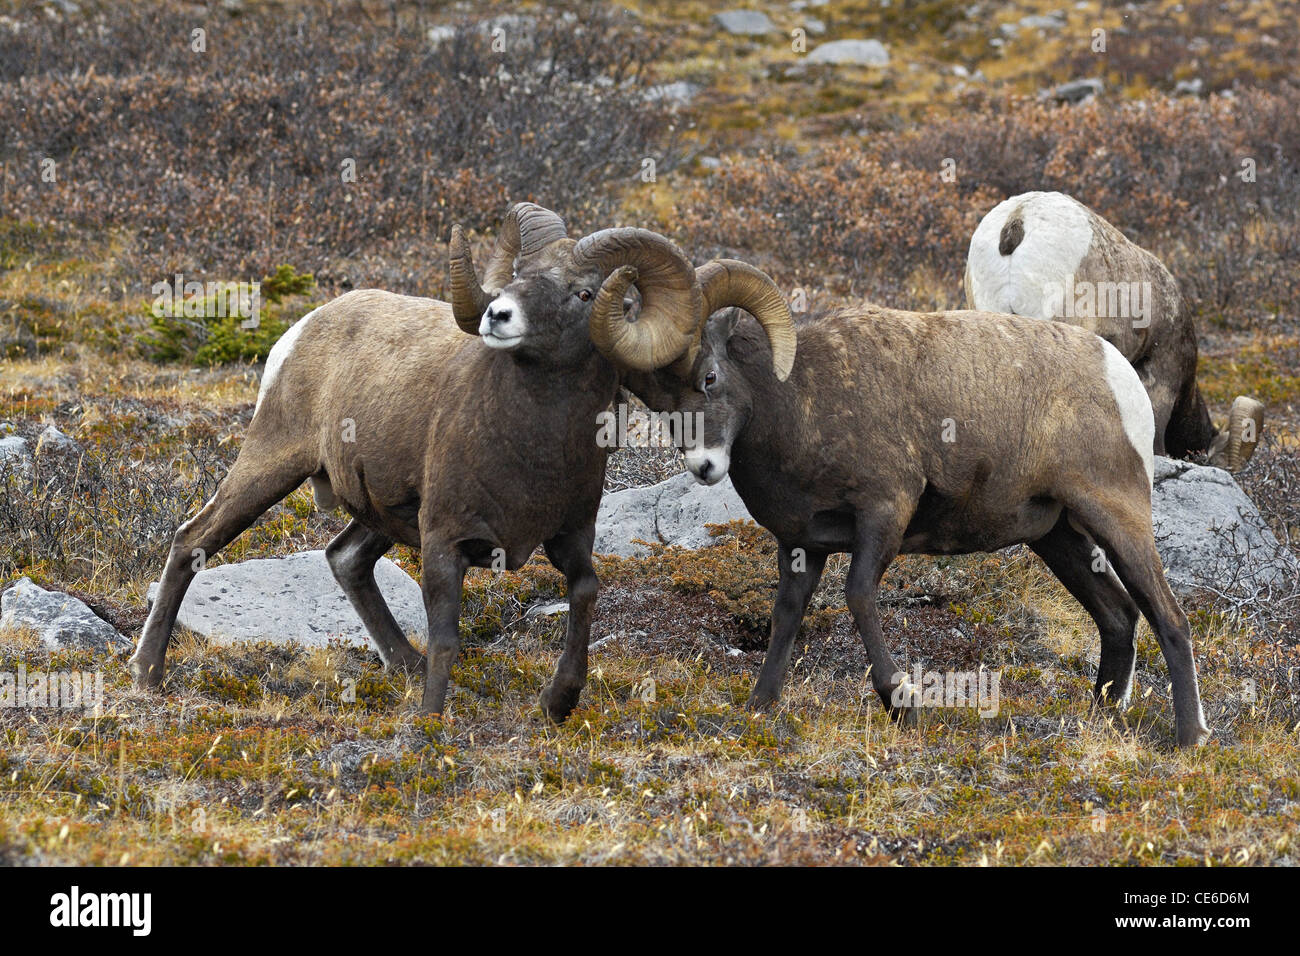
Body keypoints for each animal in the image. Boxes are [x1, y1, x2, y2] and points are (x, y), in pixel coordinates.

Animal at [128, 203, 705, 722]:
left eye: (584, 293)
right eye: (519, 276)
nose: (498, 315)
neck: (533, 447)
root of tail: (303, 329)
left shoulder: (572, 536)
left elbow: (584, 593)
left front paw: (558, 703)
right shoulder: (443, 542)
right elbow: (447, 636)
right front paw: (429, 725)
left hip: (378, 512)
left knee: (345, 559)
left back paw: (405, 664)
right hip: (270, 466)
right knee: (193, 540)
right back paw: (147, 673)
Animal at [613, 253, 1210, 748]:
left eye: (710, 377)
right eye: (661, 404)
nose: (705, 468)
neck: (801, 401)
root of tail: (1120, 377)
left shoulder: (884, 515)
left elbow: (858, 596)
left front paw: (903, 706)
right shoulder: (802, 546)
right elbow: (786, 616)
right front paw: (760, 707)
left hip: (1117, 519)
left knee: (1169, 617)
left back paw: (1189, 739)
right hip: (1059, 538)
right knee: (1118, 616)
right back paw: (1101, 717)